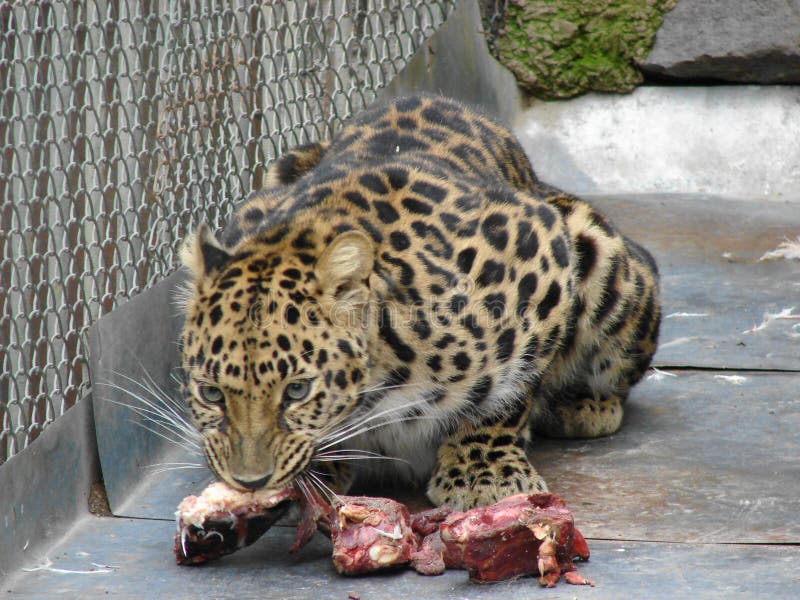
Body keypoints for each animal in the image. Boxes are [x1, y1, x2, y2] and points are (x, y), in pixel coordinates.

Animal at [178, 94, 661, 511]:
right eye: (210, 393)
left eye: (297, 391)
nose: (250, 481)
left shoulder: (538, 251)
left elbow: (511, 386)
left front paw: (482, 472)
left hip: (597, 246)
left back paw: (578, 406)